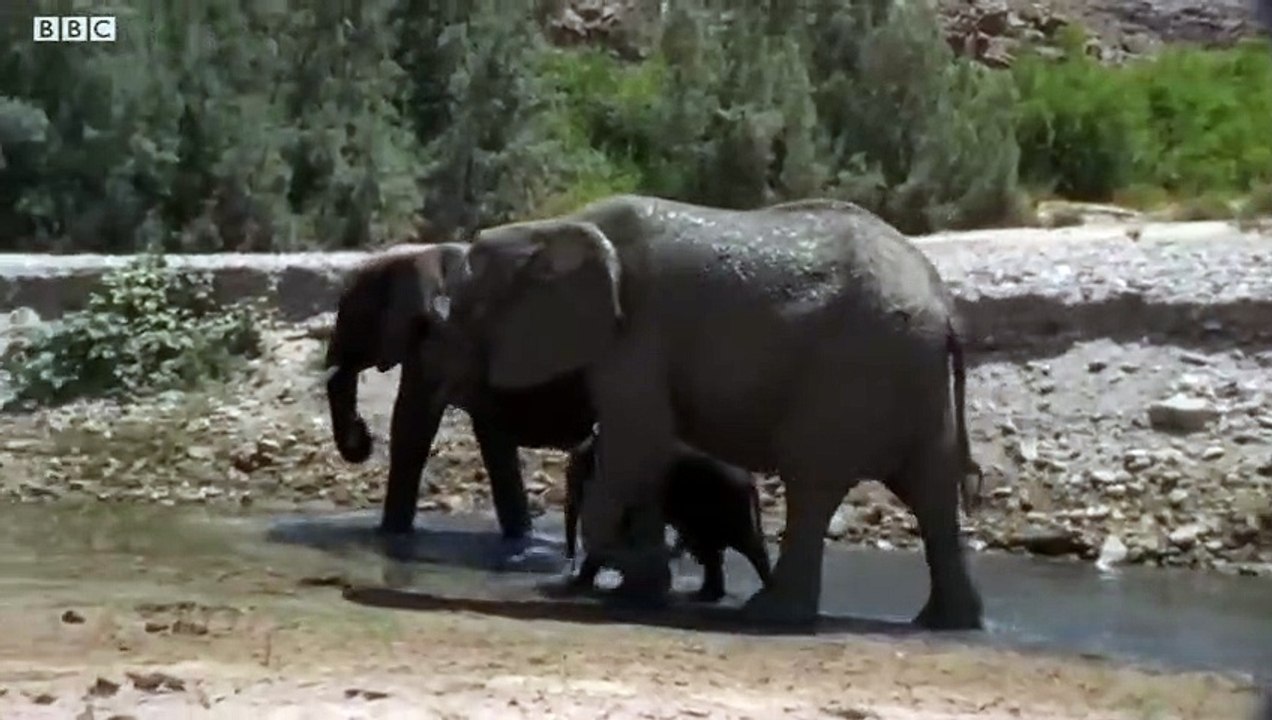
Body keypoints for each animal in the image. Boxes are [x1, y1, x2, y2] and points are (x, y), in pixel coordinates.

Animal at [323, 242, 597, 554]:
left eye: (349, 317)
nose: (364, 434)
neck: (420, 258)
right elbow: (492, 440)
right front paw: (520, 540)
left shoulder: (440, 343)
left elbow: (411, 427)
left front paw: (388, 536)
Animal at [564, 432, 773, 602]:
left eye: (577, 473)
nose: (570, 568)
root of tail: (751, 481)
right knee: (708, 549)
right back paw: (703, 595)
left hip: (728, 503)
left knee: (745, 545)